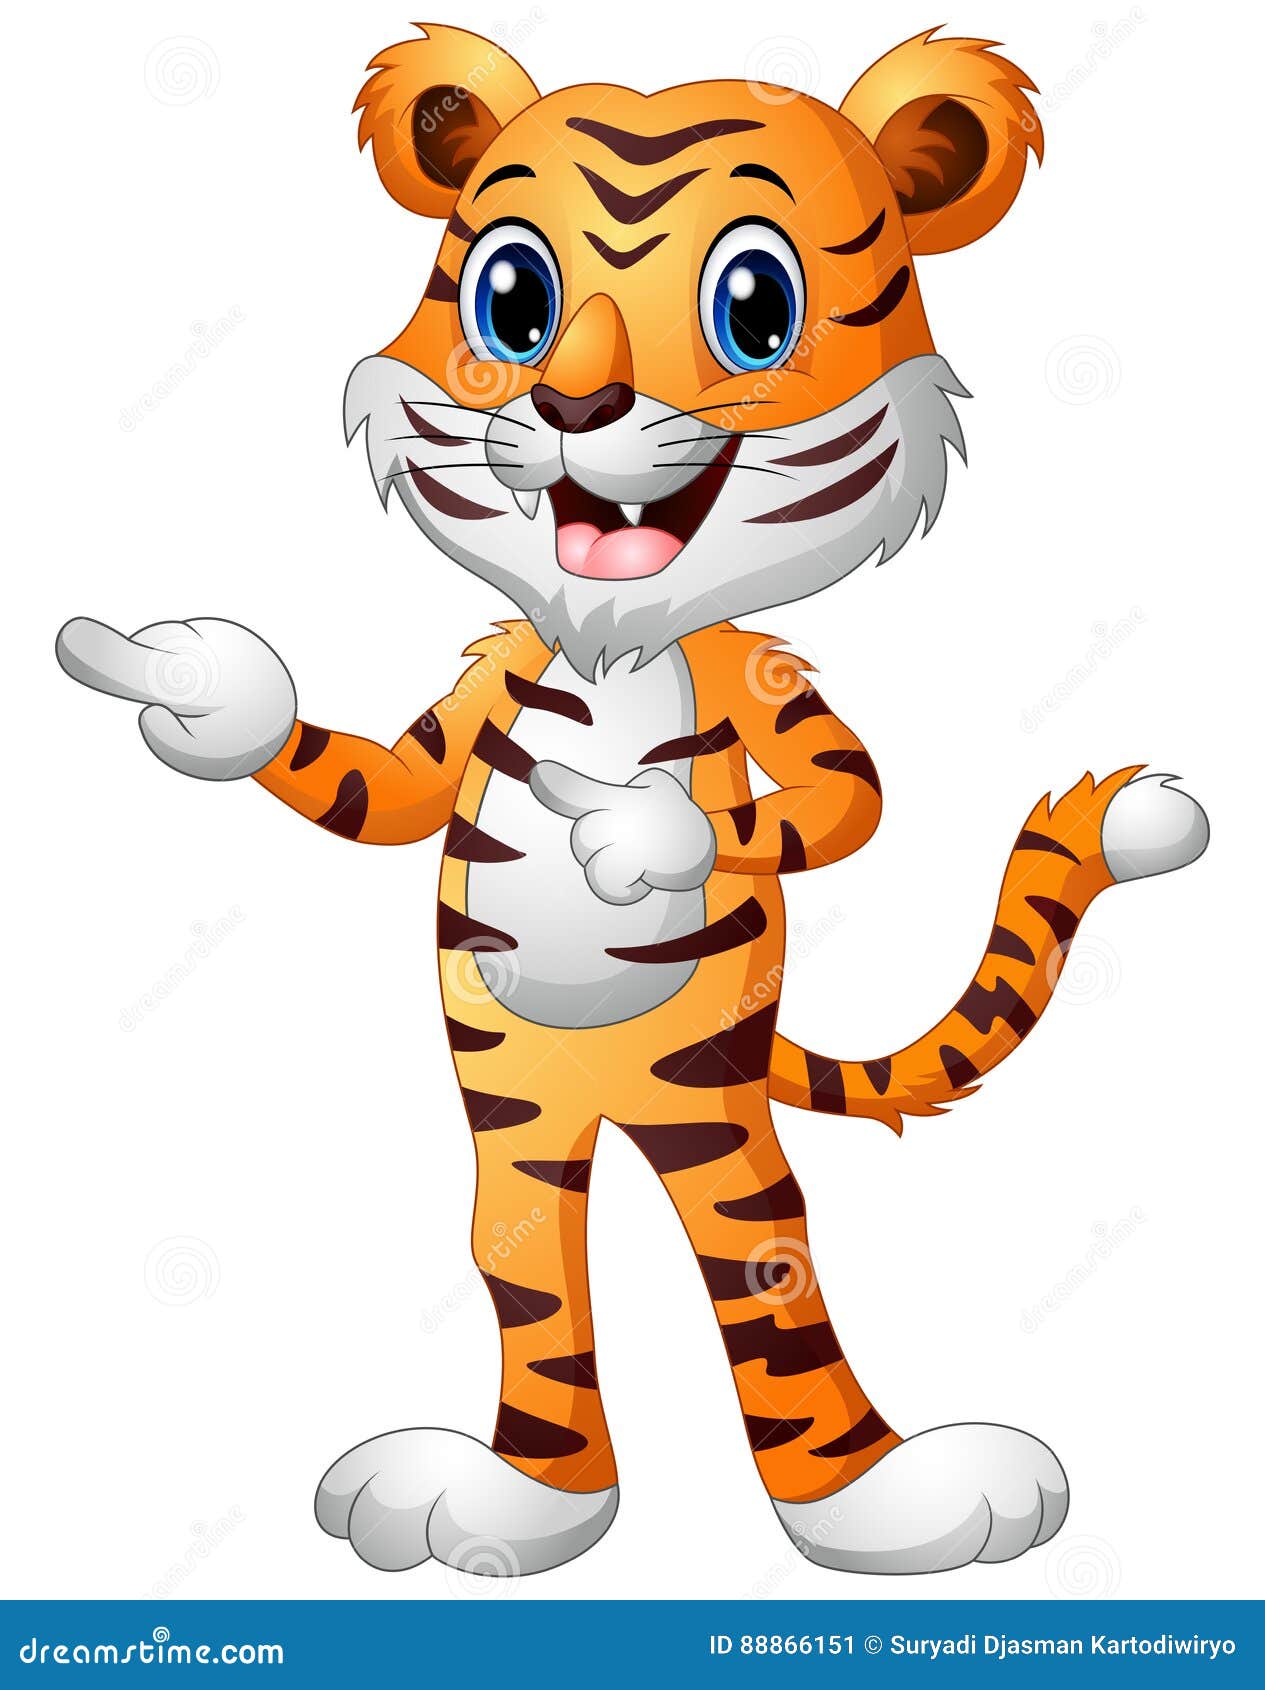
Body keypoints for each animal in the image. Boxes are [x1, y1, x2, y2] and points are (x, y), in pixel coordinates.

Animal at [57, 24, 1208, 1578]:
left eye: (754, 307)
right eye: (514, 297)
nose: (570, 401)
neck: (610, 645)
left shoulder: (758, 680)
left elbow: (844, 799)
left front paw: (632, 827)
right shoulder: (486, 693)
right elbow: (391, 788)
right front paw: (201, 692)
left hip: (700, 1091)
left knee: (763, 1248)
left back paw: (872, 1497)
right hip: (512, 1097)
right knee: (520, 1252)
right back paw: (525, 1500)